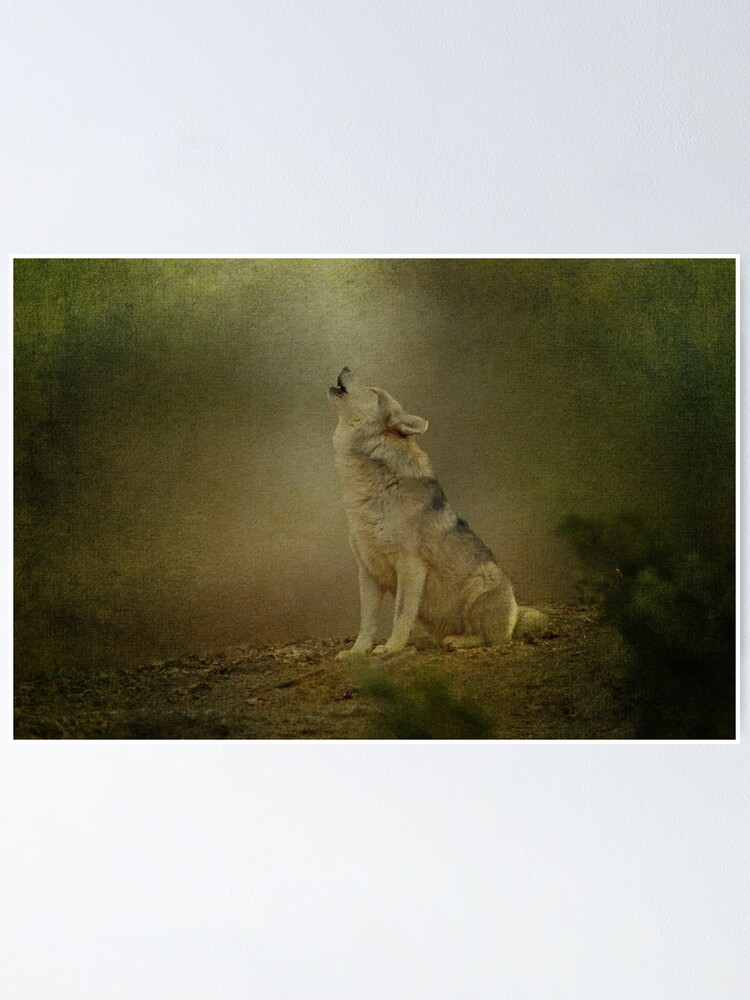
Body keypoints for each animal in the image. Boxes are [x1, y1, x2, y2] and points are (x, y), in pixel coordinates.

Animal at [328, 367, 542, 658]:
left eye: (372, 391)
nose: (346, 368)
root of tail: (516, 615)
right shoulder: (367, 571)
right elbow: (366, 623)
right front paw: (356, 653)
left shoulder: (410, 567)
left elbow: (400, 615)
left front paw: (391, 648)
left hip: (485, 580)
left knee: (489, 639)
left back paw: (458, 641)